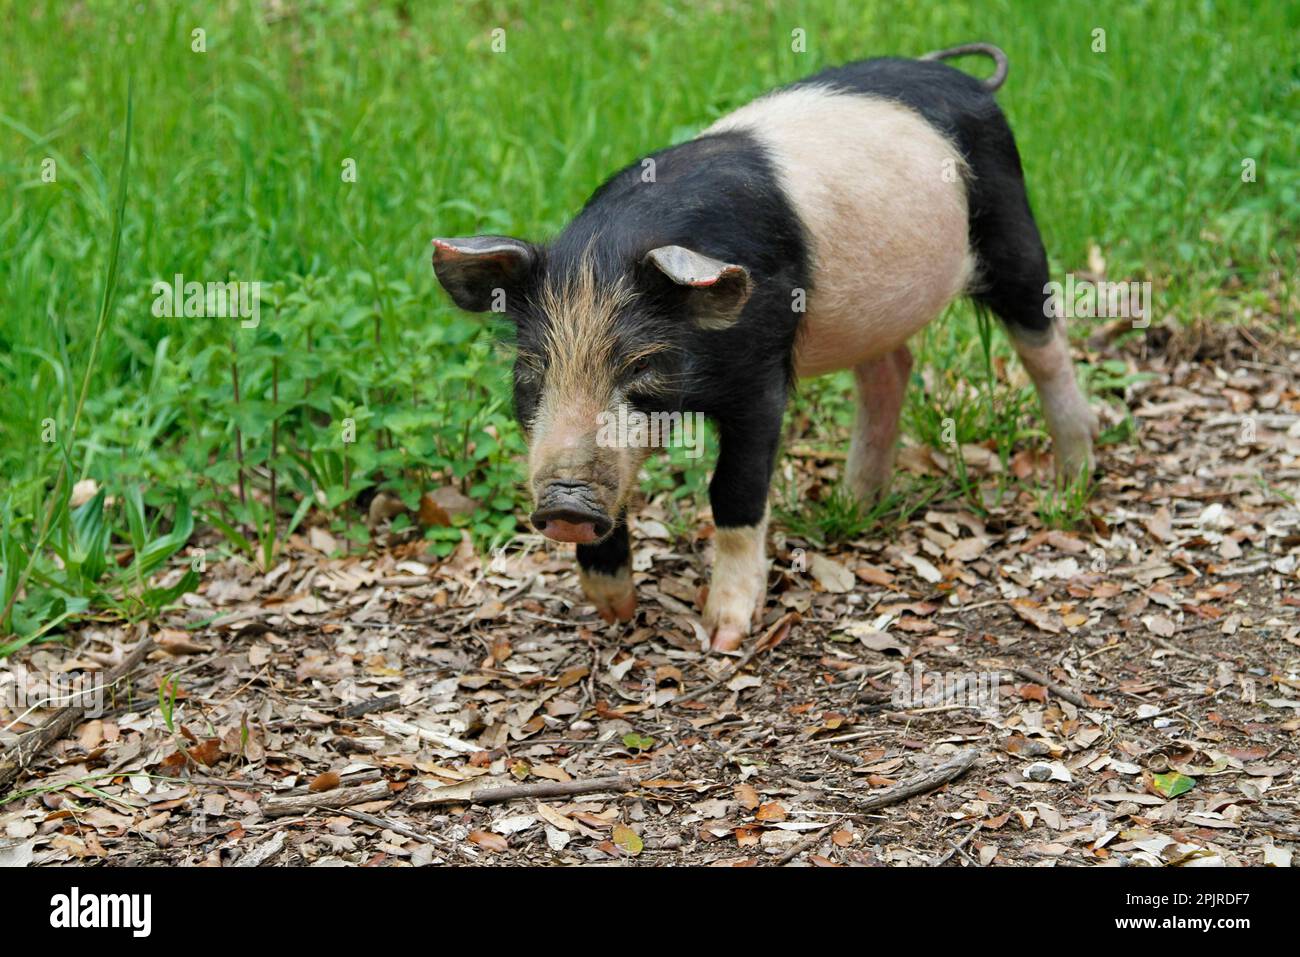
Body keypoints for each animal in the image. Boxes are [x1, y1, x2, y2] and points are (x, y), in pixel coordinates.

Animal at [431, 43, 1098, 652]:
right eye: (532, 370)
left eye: (642, 369)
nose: (566, 504)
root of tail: (965, 79)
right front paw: (615, 611)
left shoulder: (761, 380)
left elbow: (734, 492)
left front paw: (724, 635)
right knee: (891, 369)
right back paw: (852, 505)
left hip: (1011, 224)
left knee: (1044, 342)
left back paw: (1073, 479)